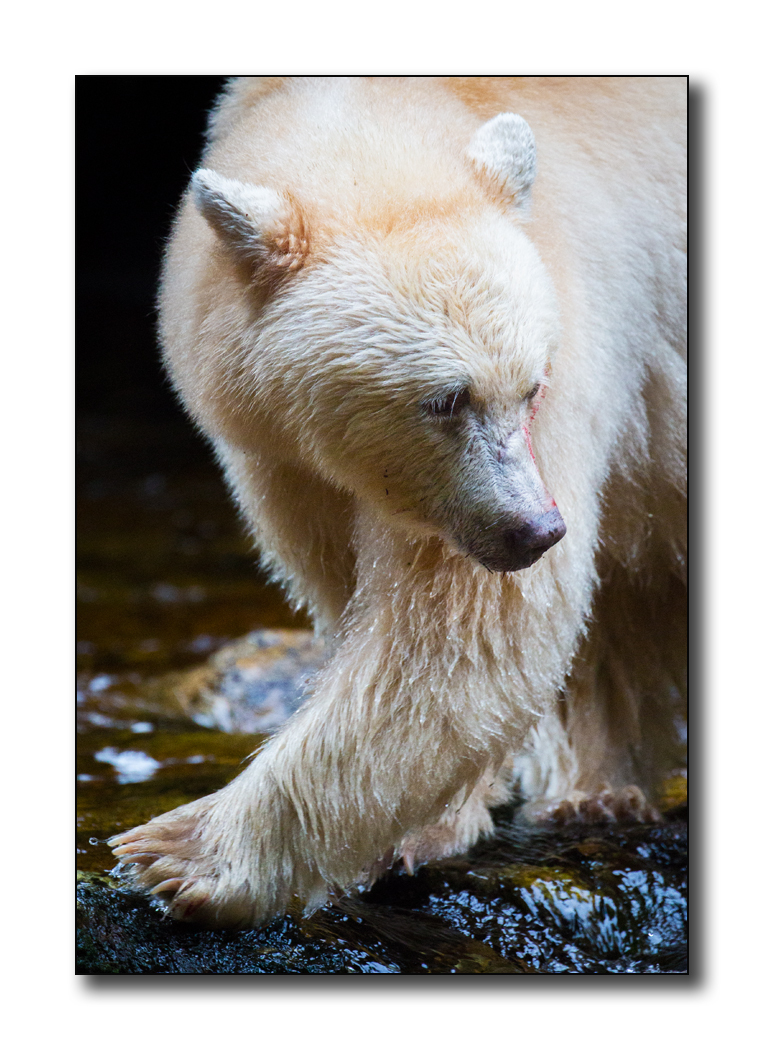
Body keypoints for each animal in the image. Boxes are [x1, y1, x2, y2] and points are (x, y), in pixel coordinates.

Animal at [109, 76, 687, 928]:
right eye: (445, 399)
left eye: (530, 386)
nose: (536, 528)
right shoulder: (285, 455)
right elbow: (348, 582)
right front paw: (434, 822)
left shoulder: (579, 321)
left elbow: (465, 636)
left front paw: (182, 857)